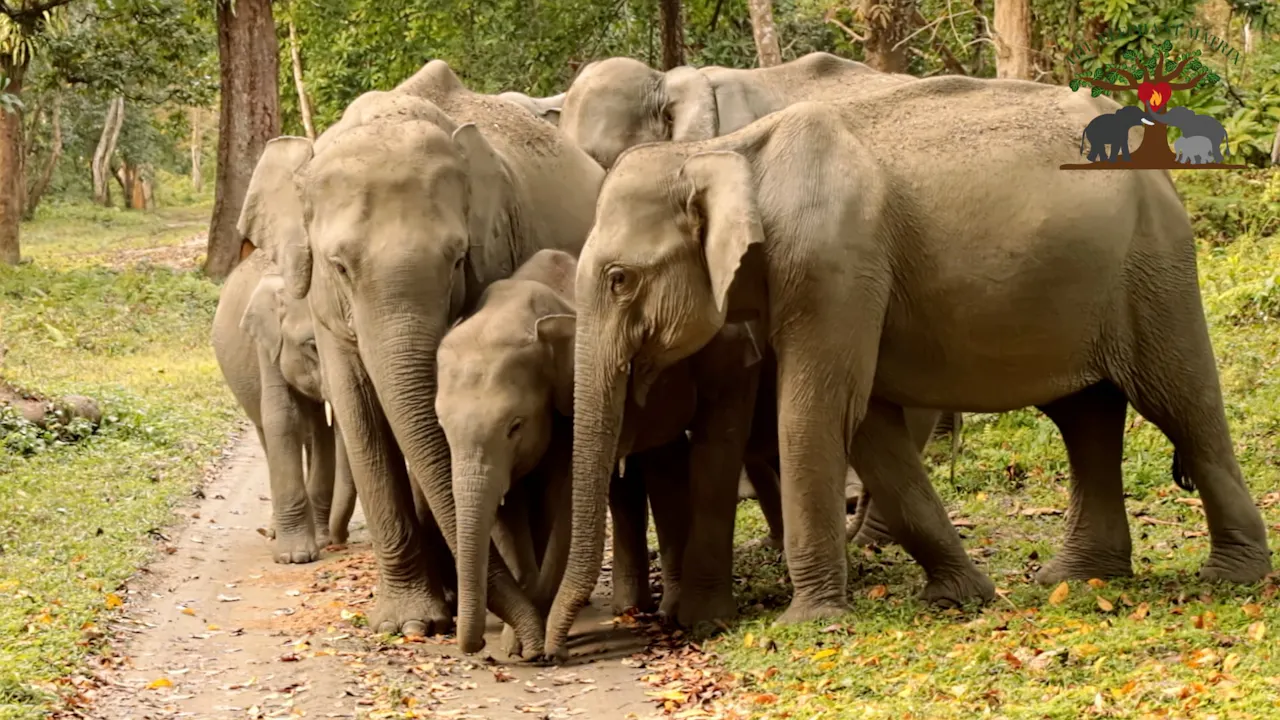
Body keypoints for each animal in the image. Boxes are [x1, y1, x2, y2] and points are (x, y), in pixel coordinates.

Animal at [211, 249, 357, 562]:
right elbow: (283, 418)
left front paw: (319, 540)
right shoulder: (267, 346)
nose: (338, 541)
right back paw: (274, 531)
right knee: (268, 433)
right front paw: (295, 557)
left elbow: (323, 430)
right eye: (312, 346)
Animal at [240, 60, 605, 655]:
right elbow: (362, 414)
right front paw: (409, 622)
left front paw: (444, 611)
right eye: (338, 266)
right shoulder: (325, 311)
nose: (512, 645)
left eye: (457, 258)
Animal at [541, 76, 1273, 661]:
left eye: (619, 278)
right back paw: (1074, 579)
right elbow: (867, 425)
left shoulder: (832, 262)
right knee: (1085, 416)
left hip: (1154, 268)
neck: (733, 153)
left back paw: (1229, 578)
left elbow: (816, 412)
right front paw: (960, 596)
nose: (553, 654)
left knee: (1182, 403)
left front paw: (808, 623)